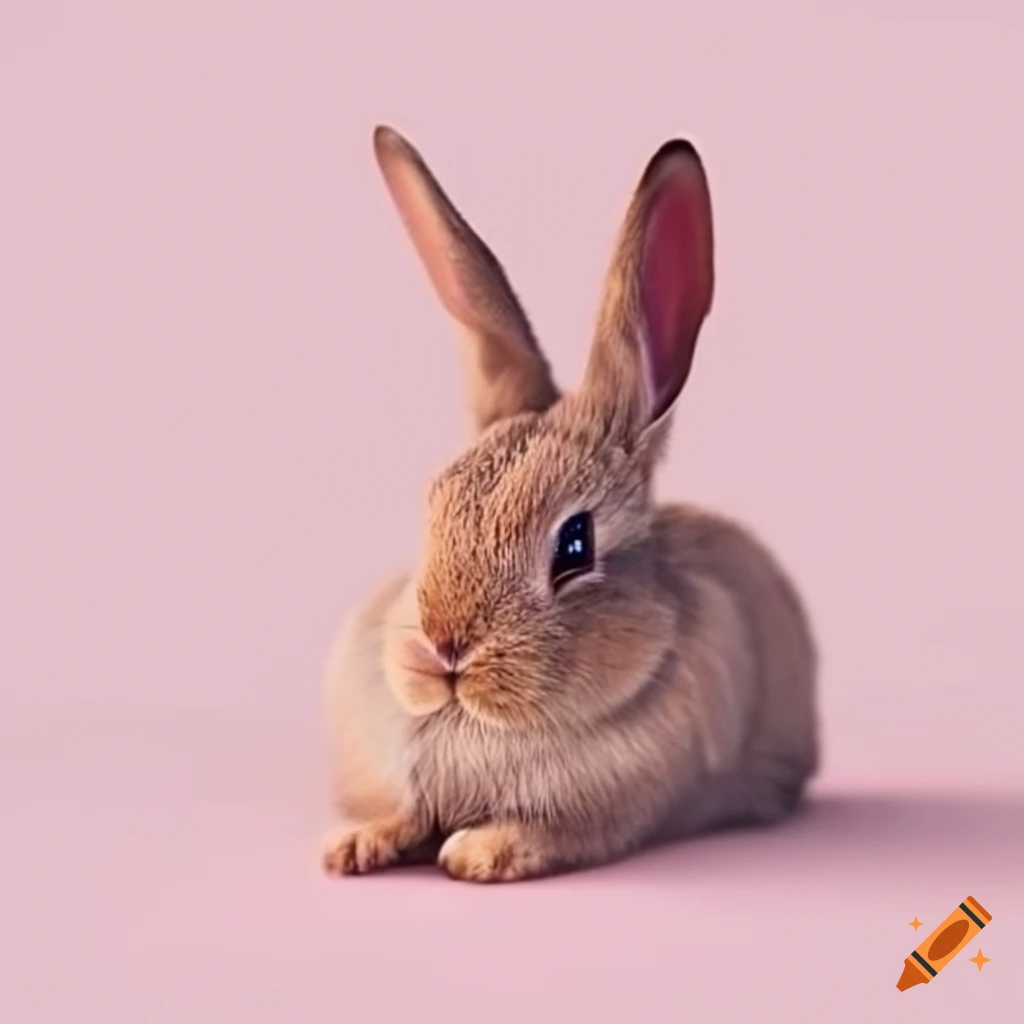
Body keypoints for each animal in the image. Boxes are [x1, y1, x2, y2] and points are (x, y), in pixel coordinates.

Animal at [320, 125, 819, 883]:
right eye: (432, 508)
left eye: (576, 544)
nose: (445, 648)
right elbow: (399, 813)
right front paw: (353, 846)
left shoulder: (604, 813)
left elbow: (549, 831)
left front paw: (479, 852)